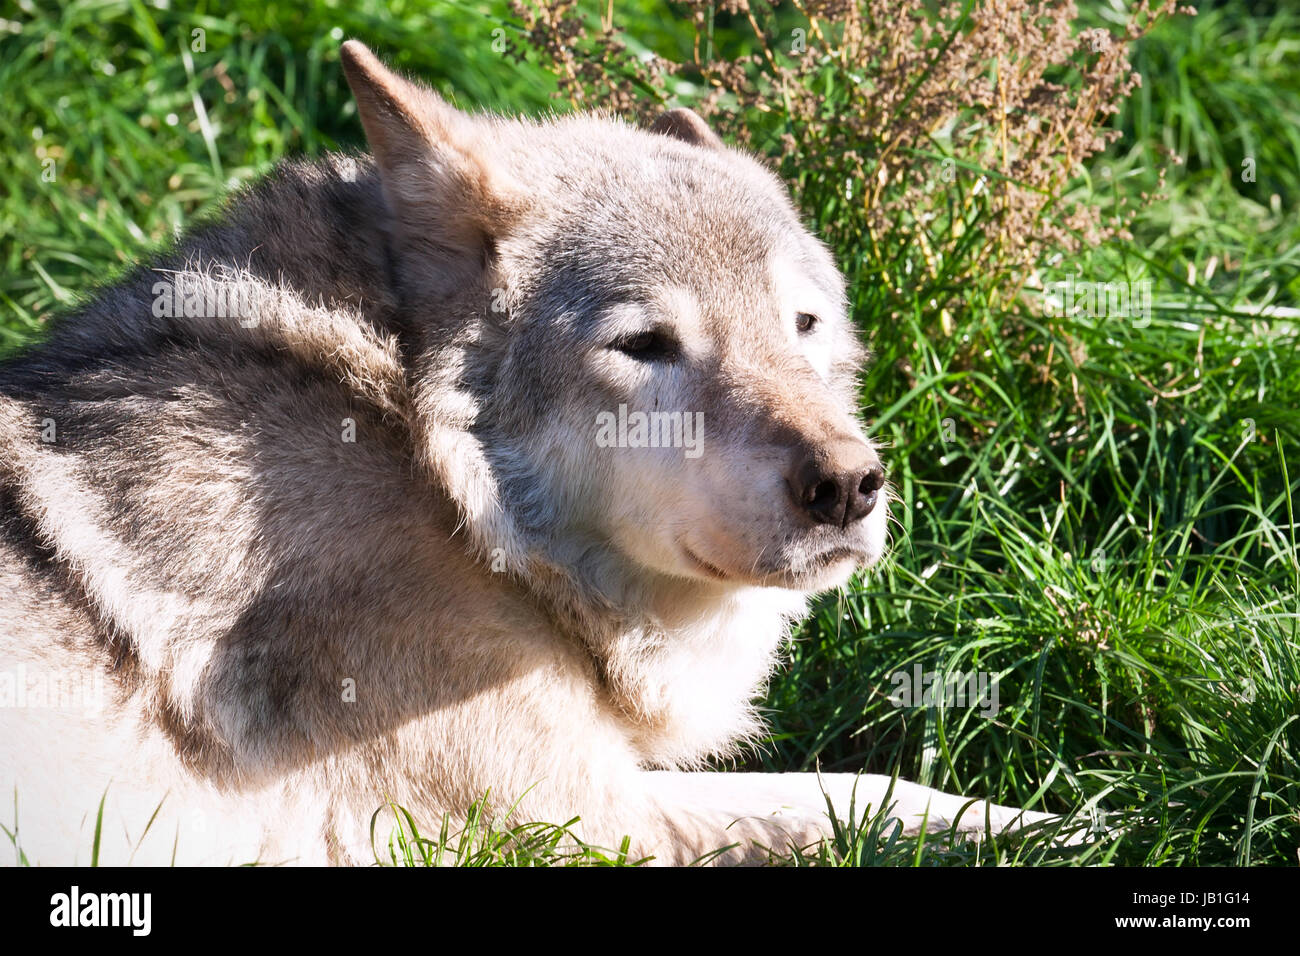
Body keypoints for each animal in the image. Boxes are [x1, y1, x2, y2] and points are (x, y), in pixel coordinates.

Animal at [0, 41, 1055, 865]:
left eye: (803, 325)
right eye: (646, 345)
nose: (848, 486)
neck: (434, 477)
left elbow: (872, 791)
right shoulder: (570, 824)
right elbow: (845, 798)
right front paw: (1059, 830)